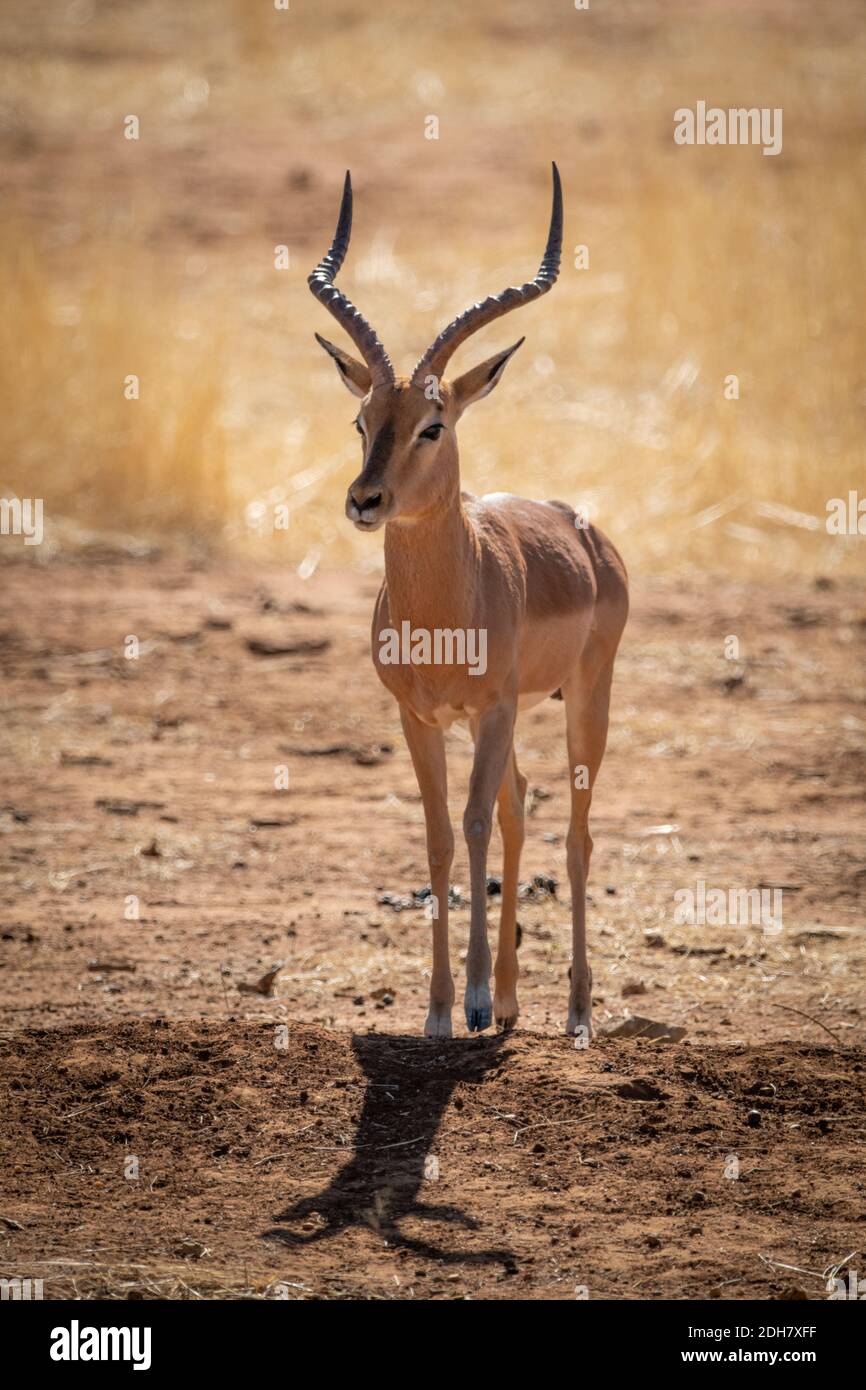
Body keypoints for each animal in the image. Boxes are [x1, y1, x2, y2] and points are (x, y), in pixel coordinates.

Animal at [309, 165, 628, 1039]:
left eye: (434, 423)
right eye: (361, 419)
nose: (365, 500)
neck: (445, 610)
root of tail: (584, 531)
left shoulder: (489, 710)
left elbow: (478, 826)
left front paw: (477, 998)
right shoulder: (420, 718)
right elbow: (441, 837)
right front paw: (442, 1010)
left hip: (584, 699)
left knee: (576, 836)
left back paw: (576, 1014)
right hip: (520, 716)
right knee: (521, 808)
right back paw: (517, 1000)